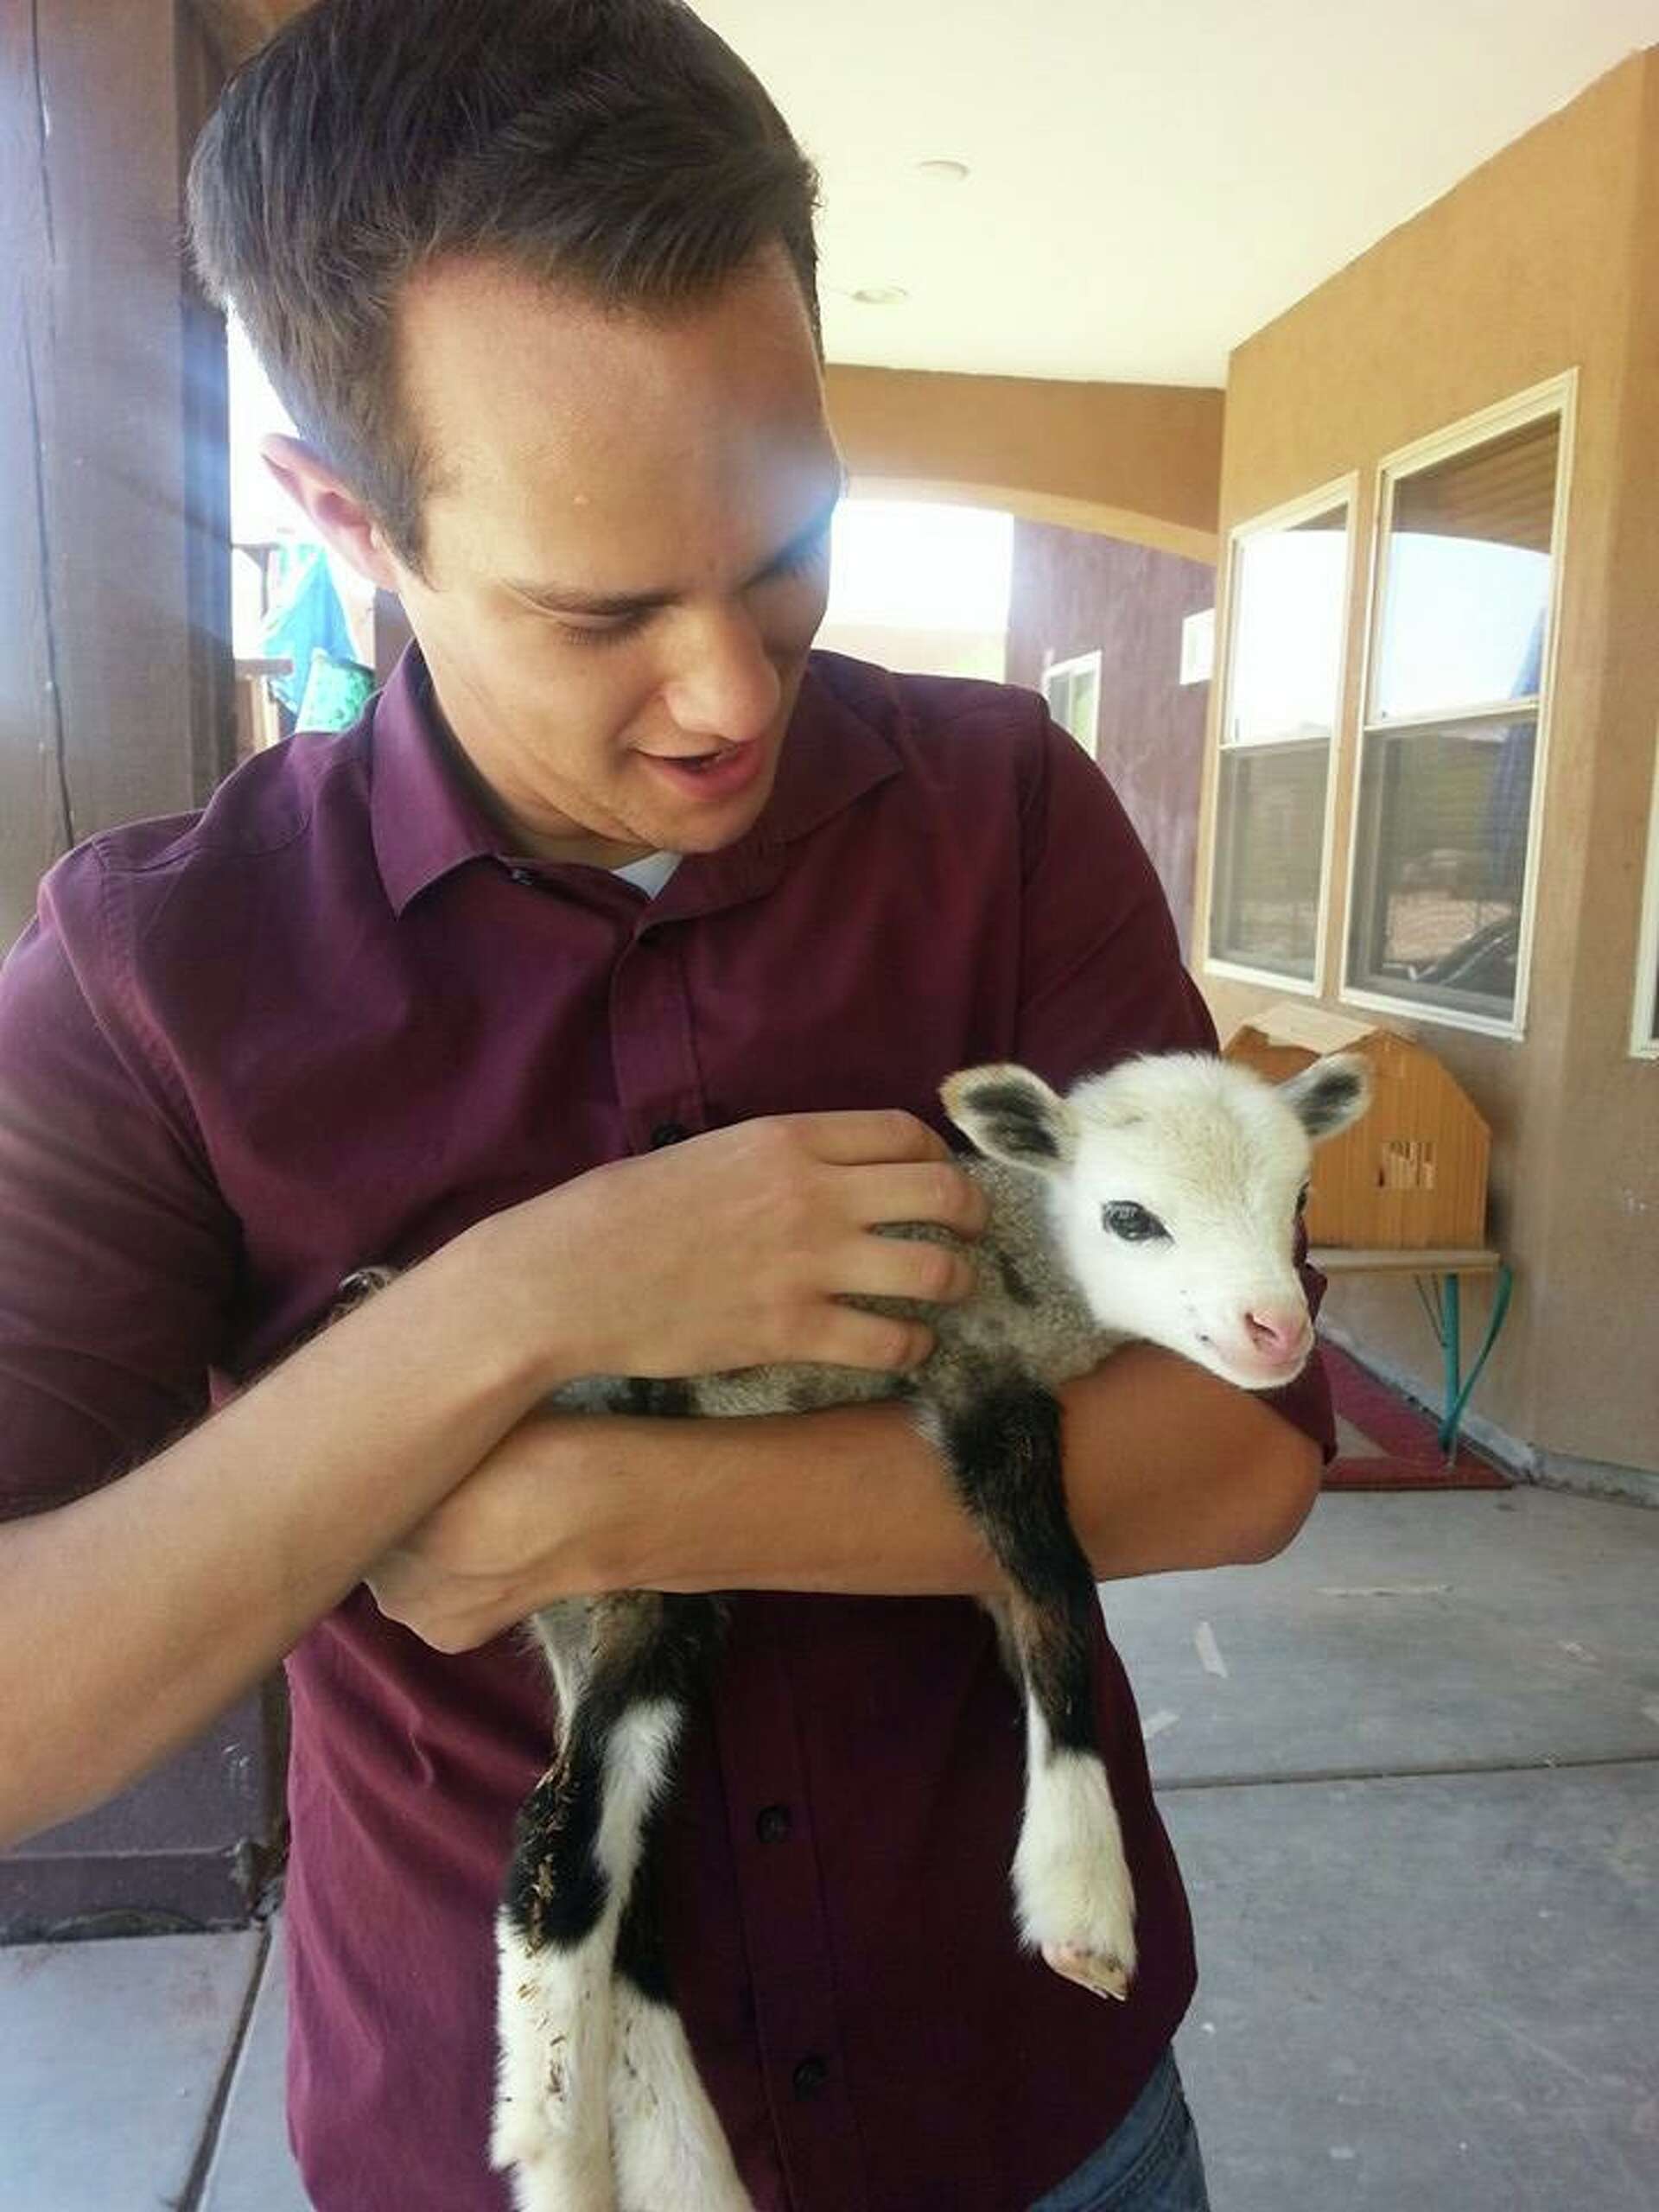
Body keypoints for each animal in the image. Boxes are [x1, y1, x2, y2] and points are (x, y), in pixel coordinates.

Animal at [339, 1047, 1371, 2212]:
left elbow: (1028, 1608)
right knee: (550, 1838)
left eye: (1299, 1201)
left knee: (616, 1857)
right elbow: (1059, 1585)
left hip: (640, 1607)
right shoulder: (975, 1373)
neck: (1022, 1253)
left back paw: (674, 2161)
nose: (1277, 1330)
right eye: (1130, 1217)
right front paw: (1083, 1895)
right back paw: (555, 2142)